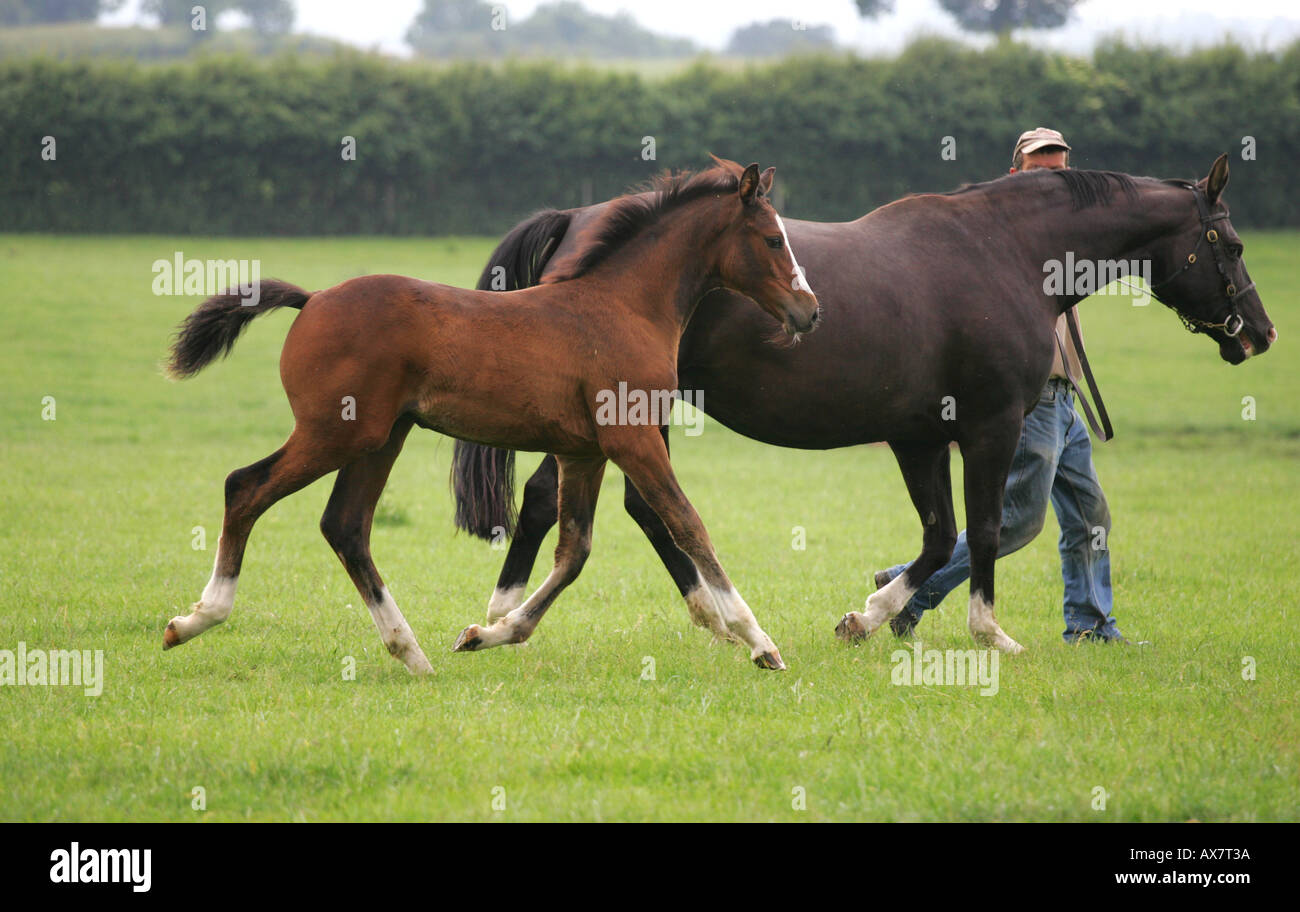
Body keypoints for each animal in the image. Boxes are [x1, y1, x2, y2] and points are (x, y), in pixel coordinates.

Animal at [162, 159, 820, 674]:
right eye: (772, 239)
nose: (809, 311)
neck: (624, 307)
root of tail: (314, 298)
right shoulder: (633, 440)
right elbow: (687, 524)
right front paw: (760, 642)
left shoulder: (585, 451)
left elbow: (574, 551)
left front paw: (489, 634)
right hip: (338, 432)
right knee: (246, 487)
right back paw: (197, 618)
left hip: (381, 438)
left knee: (345, 525)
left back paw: (411, 654)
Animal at [453, 154, 1276, 654]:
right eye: (1231, 244)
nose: (1261, 333)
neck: (1003, 251)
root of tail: (576, 220)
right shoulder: (991, 428)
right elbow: (981, 531)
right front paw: (989, 633)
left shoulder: (919, 438)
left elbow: (939, 538)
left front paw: (868, 617)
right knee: (558, 498)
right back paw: (506, 614)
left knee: (631, 507)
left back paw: (705, 616)